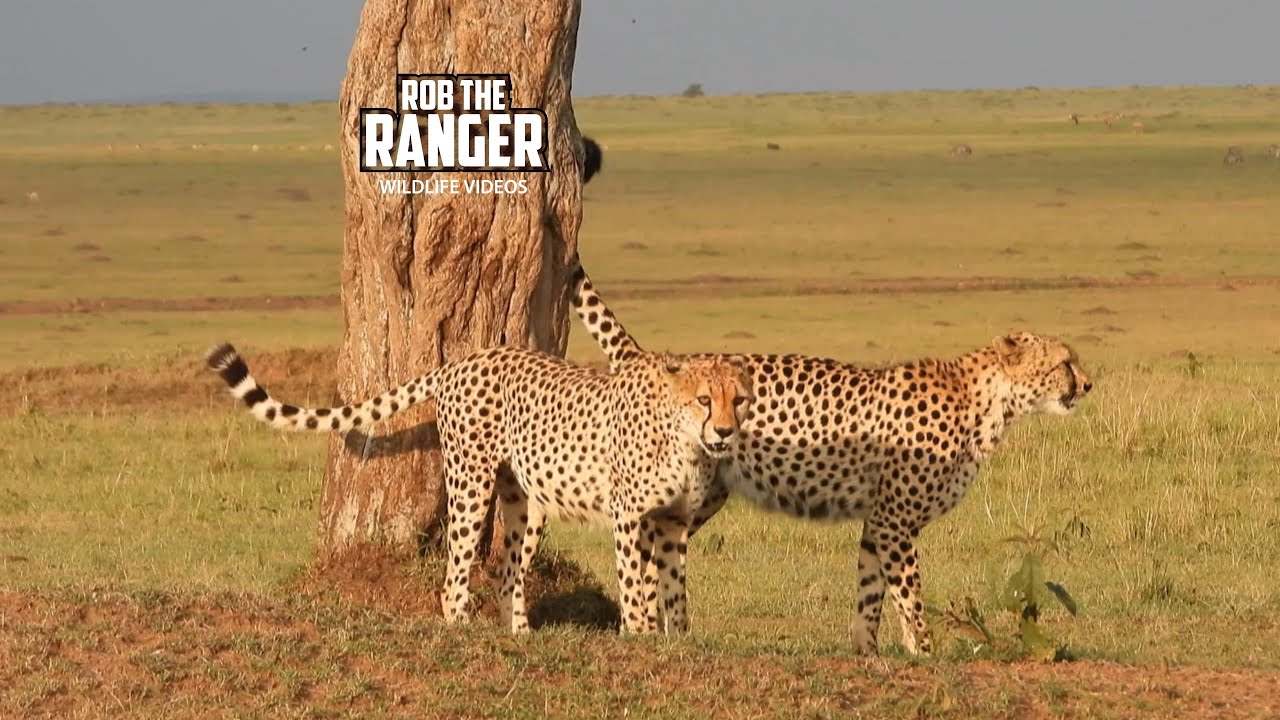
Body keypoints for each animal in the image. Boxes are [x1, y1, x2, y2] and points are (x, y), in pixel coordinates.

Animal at [206, 342, 752, 635]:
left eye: (740, 400)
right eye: (705, 400)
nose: (726, 432)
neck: (686, 441)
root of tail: (466, 358)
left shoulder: (673, 522)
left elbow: (674, 587)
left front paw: (676, 641)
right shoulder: (628, 517)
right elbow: (636, 585)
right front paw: (638, 637)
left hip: (523, 502)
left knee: (508, 571)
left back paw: (521, 636)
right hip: (471, 480)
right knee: (455, 573)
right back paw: (462, 628)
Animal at [567, 258, 1092, 654]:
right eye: (1064, 362)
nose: (1087, 385)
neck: (987, 402)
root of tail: (654, 361)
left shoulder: (879, 521)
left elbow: (870, 590)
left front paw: (866, 650)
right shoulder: (895, 521)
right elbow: (910, 595)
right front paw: (925, 651)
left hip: (700, 495)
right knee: (641, 556)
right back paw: (641, 630)